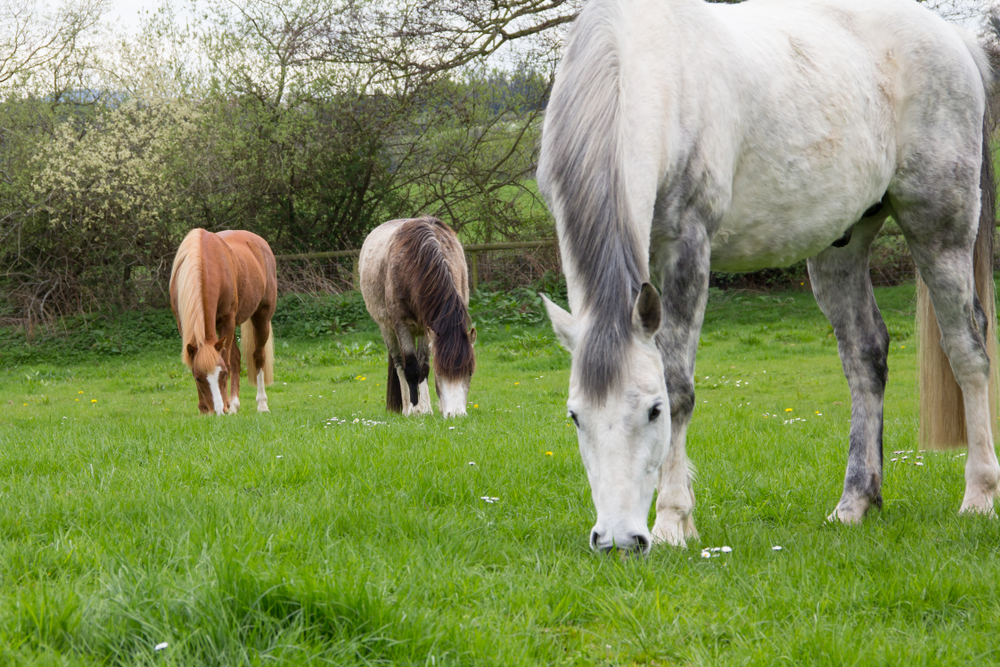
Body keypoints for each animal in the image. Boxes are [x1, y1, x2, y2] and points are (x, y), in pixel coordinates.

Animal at [169, 228, 277, 415]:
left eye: (224, 374)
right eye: (198, 378)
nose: (219, 411)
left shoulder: (227, 320)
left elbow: (227, 361)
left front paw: (225, 405)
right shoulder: (183, 325)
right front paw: (204, 408)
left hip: (261, 317)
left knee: (258, 356)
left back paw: (261, 404)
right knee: (236, 358)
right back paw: (234, 405)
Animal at [359, 217, 476, 418]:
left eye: (469, 373)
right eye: (440, 373)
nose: (456, 414)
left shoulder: (427, 328)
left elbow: (424, 367)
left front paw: (428, 408)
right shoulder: (402, 325)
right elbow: (412, 369)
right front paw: (414, 409)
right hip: (387, 330)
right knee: (400, 365)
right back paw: (407, 408)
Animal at [538, 0, 998, 554]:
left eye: (653, 411)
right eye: (575, 416)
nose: (619, 541)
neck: (644, 62)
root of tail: (955, 40)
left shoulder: (688, 246)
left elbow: (680, 383)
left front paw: (672, 521)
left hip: (940, 230)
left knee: (967, 350)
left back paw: (978, 496)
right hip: (841, 246)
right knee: (866, 357)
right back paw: (854, 503)